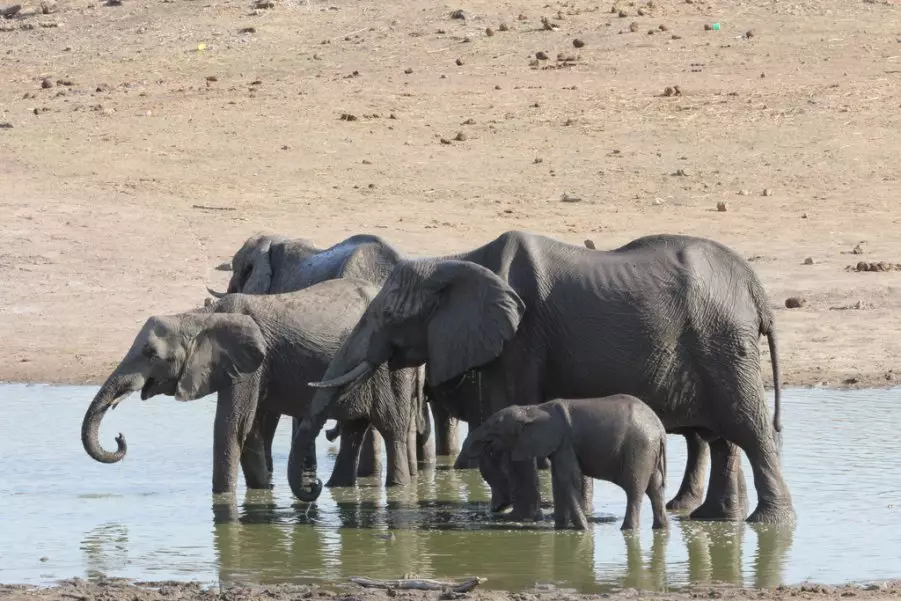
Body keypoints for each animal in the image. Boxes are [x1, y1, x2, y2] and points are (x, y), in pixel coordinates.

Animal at [79, 278, 424, 494]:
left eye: (151, 354)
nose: (119, 437)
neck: (201, 315)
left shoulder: (251, 364)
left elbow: (232, 426)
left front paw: (222, 500)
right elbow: (252, 428)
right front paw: (261, 491)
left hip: (392, 368)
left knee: (391, 428)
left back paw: (397, 488)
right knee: (355, 429)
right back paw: (335, 488)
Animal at [464, 396, 668, 532]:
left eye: (495, 427)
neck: (532, 409)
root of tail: (659, 427)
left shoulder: (565, 443)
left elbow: (568, 478)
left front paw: (581, 529)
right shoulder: (558, 445)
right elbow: (558, 480)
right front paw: (561, 527)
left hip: (639, 448)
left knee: (635, 488)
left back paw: (628, 529)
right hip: (649, 451)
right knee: (655, 488)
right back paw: (661, 527)